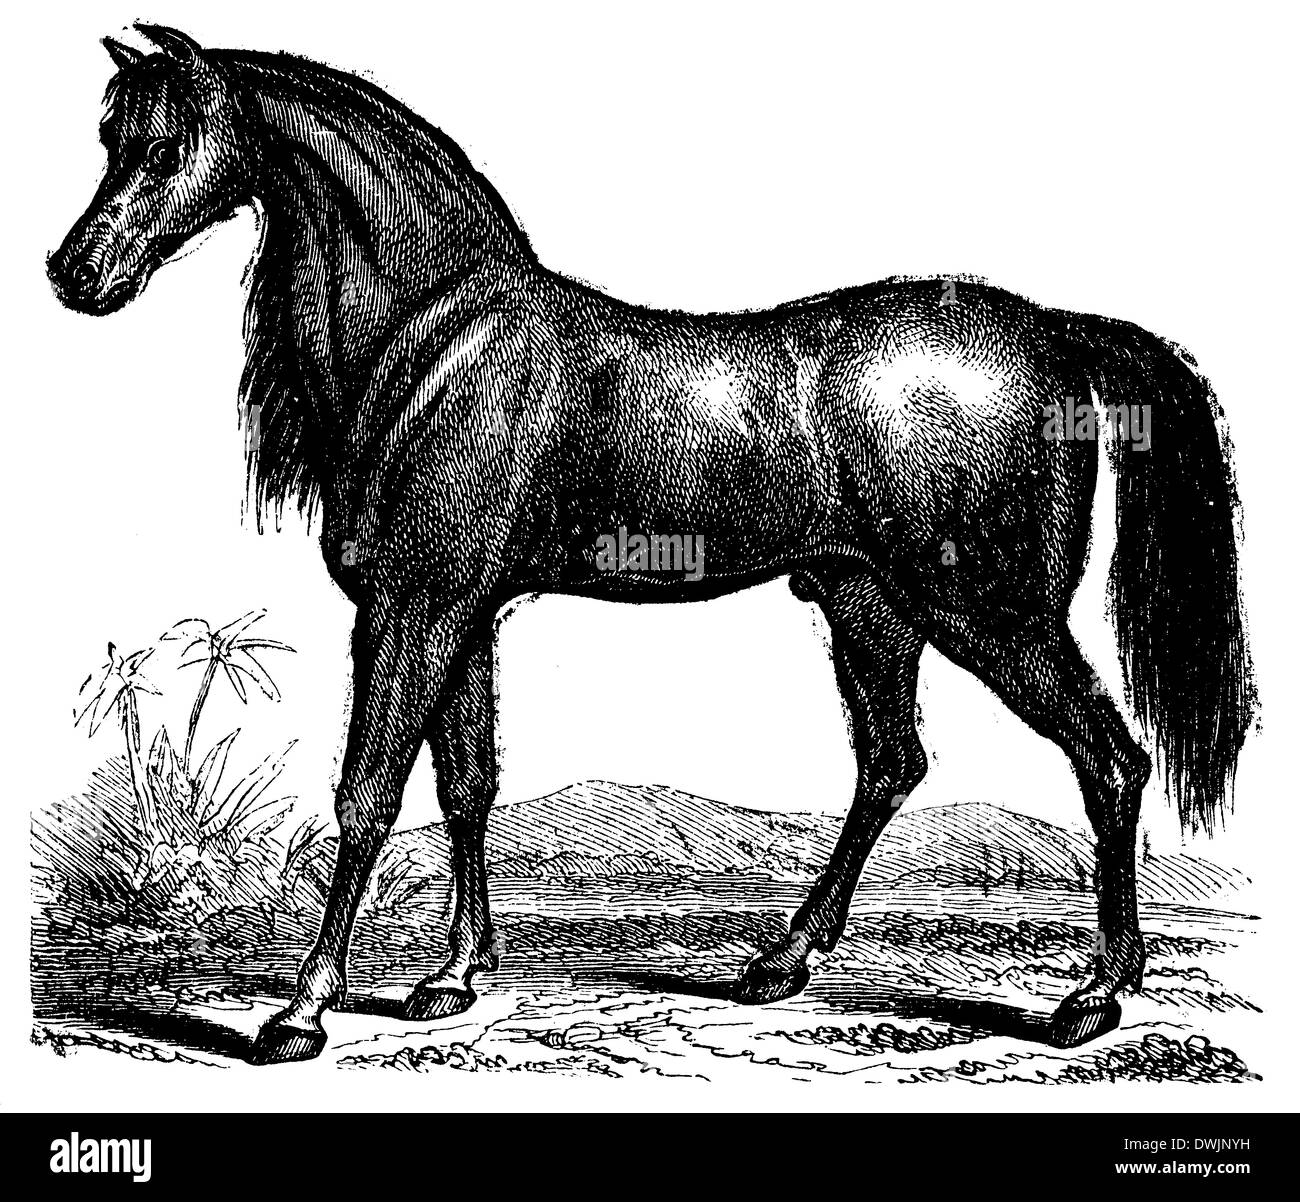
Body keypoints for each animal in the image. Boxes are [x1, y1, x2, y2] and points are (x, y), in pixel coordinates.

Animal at [49, 26, 1255, 1065]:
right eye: (110, 137)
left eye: (169, 142)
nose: (74, 273)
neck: (433, 337)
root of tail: (1049, 331)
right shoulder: (462, 613)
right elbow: (467, 783)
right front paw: (454, 976)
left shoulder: (412, 607)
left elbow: (368, 792)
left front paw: (301, 1011)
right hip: (867, 606)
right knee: (892, 761)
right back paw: (780, 962)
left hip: (991, 614)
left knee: (1108, 758)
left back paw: (1092, 997)